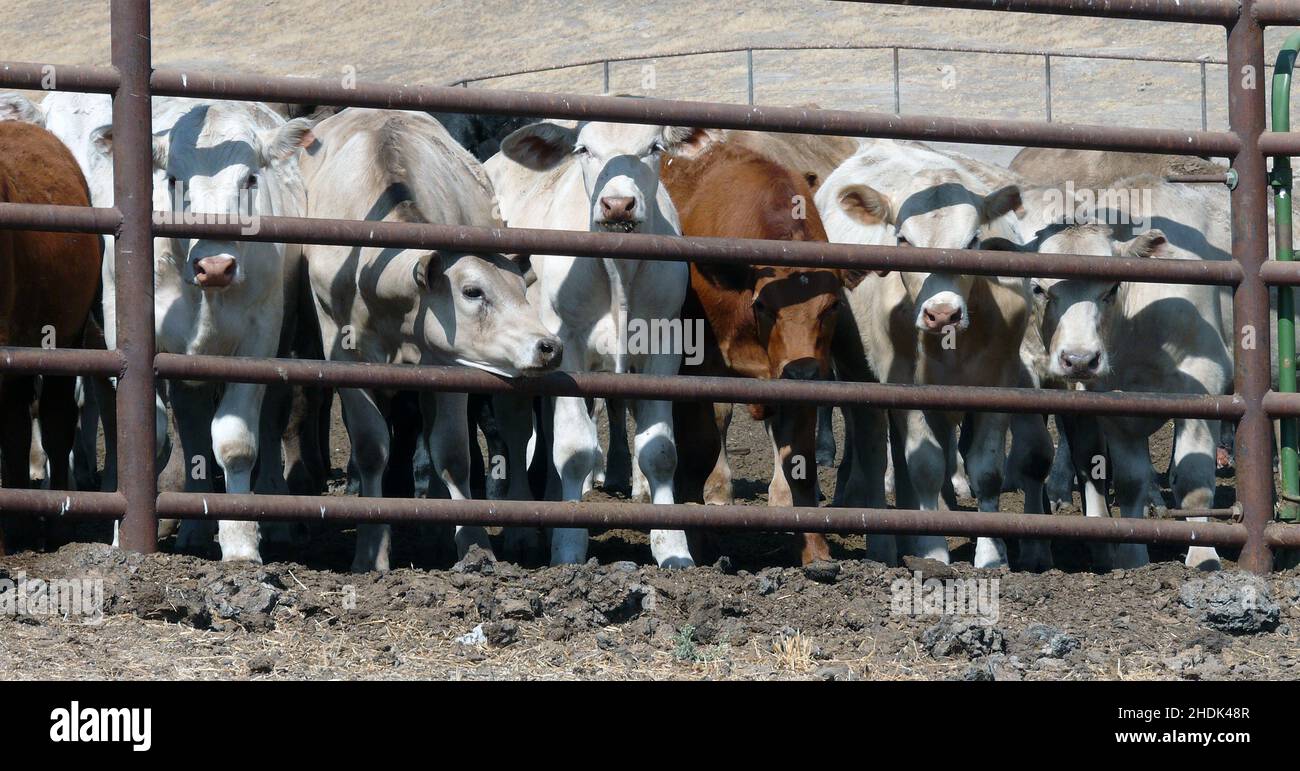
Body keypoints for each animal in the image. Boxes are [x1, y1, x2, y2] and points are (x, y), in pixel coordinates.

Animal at [298, 108, 562, 573]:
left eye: (521, 287)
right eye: (472, 291)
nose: (547, 346)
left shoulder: (448, 360)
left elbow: (453, 454)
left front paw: (474, 544)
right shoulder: (343, 349)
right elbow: (371, 446)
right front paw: (371, 550)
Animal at [487, 117, 711, 568]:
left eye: (654, 147)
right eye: (583, 149)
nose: (618, 204)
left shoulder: (665, 343)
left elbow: (660, 451)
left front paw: (673, 547)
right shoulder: (567, 344)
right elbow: (574, 448)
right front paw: (569, 544)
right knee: (519, 434)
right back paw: (524, 532)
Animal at [659, 139, 860, 565]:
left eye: (832, 305)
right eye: (763, 305)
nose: (802, 373)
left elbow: (800, 460)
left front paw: (815, 551)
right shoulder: (698, 368)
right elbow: (700, 448)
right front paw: (698, 539)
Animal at [817, 139, 1054, 570]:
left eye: (973, 241)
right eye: (902, 240)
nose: (942, 313)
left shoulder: (998, 379)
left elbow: (986, 471)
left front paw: (990, 556)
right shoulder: (902, 382)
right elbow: (925, 465)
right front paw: (933, 551)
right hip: (857, 370)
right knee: (875, 453)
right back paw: (885, 545)